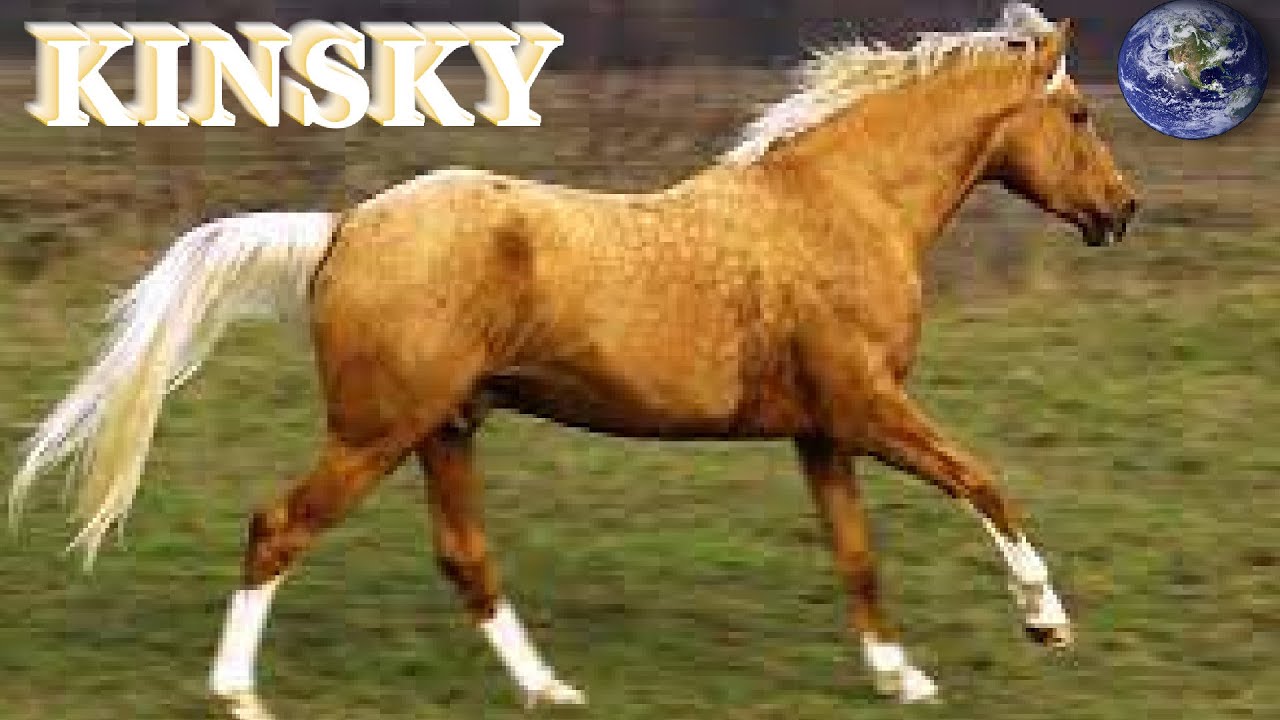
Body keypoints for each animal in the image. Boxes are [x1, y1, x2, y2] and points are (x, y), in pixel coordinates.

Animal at [11, 4, 1138, 717]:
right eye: (1078, 113)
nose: (1120, 211)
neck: (841, 206)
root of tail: (342, 228)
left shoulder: (821, 432)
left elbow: (856, 555)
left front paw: (900, 679)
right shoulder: (866, 408)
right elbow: (984, 483)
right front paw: (1046, 624)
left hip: (445, 429)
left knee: (465, 560)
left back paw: (547, 689)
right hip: (377, 431)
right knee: (279, 526)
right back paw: (239, 694)